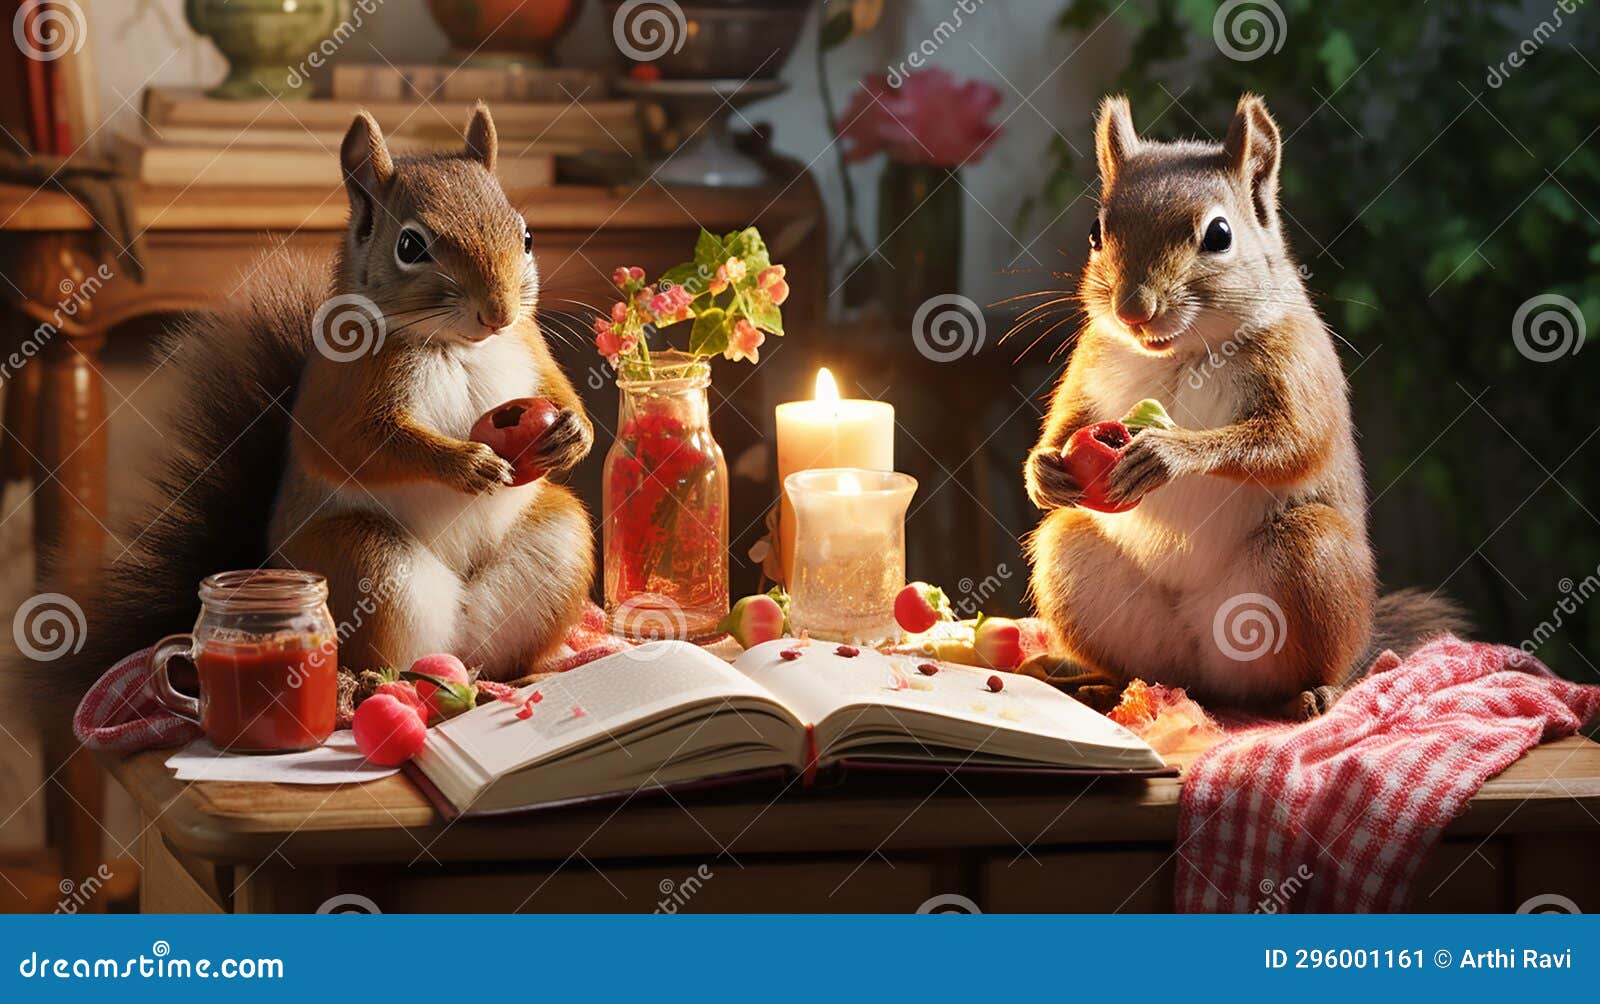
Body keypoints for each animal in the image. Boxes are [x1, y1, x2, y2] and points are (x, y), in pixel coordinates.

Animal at [32, 104, 593, 717]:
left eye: (527, 235)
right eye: (411, 246)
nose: (498, 311)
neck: (456, 345)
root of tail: (459, 651)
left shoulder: (529, 347)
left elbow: (561, 390)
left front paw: (575, 433)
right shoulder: (339, 390)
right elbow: (356, 443)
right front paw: (466, 463)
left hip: (556, 544)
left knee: (499, 648)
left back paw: (517, 677)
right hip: (363, 561)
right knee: (385, 655)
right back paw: (375, 688)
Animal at [1023, 93, 1462, 718]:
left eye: (1219, 235)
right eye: (1094, 232)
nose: (1134, 310)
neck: (1184, 352)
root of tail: (1208, 680)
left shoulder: (1298, 366)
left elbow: (1292, 441)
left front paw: (1168, 453)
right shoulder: (1091, 363)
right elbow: (1068, 419)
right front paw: (1042, 470)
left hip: (1313, 560)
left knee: (1306, 665)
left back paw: (1312, 693)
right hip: (1075, 565)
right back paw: (1107, 683)